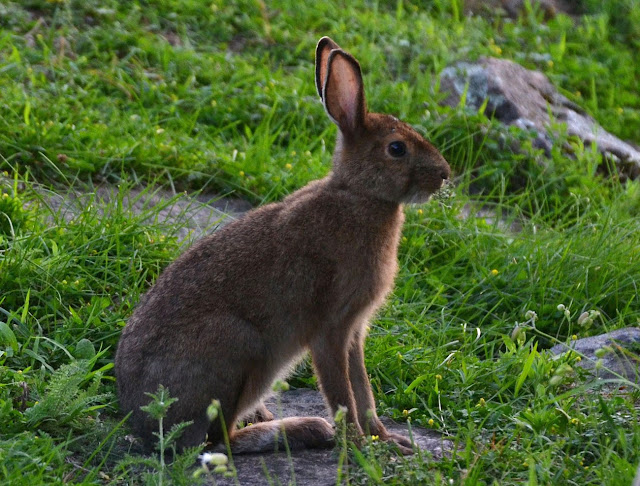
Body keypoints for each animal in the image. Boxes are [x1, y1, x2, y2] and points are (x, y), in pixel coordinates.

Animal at [114, 36, 451, 456]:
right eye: (397, 149)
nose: (444, 175)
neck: (360, 196)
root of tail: (145, 424)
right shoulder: (330, 329)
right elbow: (342, 393)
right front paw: (360, 445)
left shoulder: (355, 330)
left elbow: (363, 388)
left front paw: (389, 441)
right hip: (241, 352)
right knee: (220, 440)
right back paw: (306, 428)